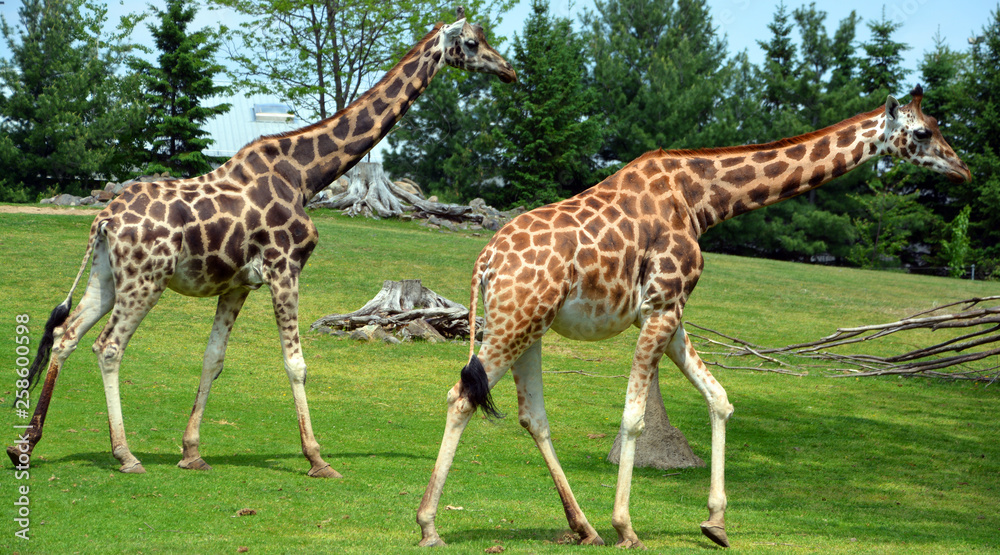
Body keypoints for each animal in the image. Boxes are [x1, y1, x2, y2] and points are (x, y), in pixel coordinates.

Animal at [8, 9, 515, 477]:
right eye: (472, 43)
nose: (508, 70)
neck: (305, 175)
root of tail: (104, 219)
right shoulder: (283, 267)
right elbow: (296, 363)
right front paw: (317, 459)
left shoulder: (238, 285)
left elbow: (213, 359)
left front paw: (191, 452)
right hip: (144, 280)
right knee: (108, 347)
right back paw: (124, 454)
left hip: (107, 276)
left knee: (68, 334)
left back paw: (25, 444)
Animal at [416, 86, 970, 548]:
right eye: (924, 132)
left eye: (938, 125)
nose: (963, 171)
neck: (703, 200)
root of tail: (484, 261)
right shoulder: (662, 307)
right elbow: (635, 417)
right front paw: (627, 527)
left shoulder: (671, 312)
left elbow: (720, 399)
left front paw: (716, 523)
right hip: (515, 321)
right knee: (461, 396)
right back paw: (429, 526)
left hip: (529, 325)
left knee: (533, 416)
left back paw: (583, 527)